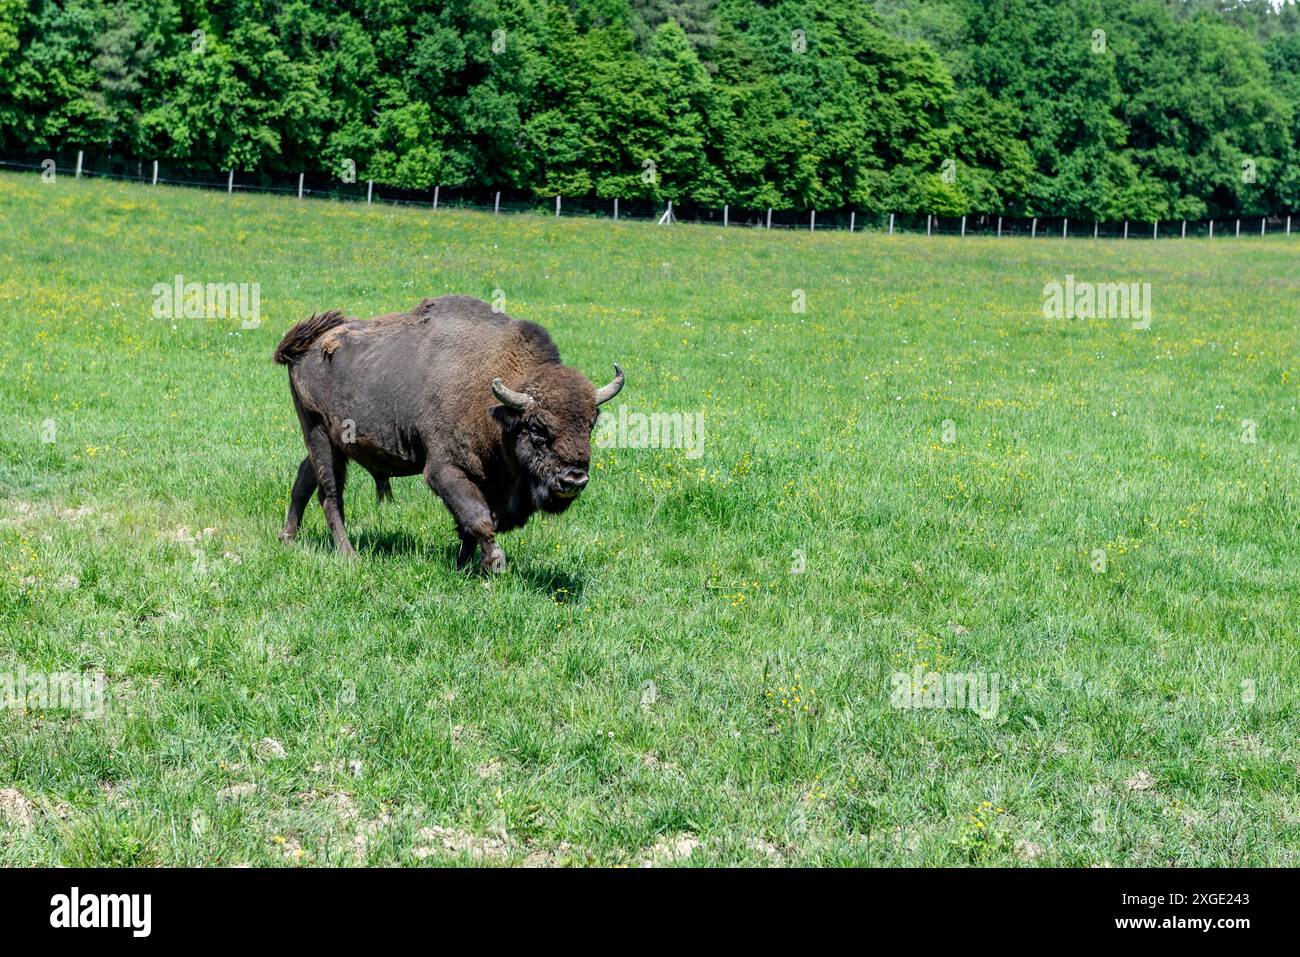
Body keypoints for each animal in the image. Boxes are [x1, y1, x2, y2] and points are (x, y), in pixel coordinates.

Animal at [273, 295, 624, 572]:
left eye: (591, 424)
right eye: (538, 429)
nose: (574, 480)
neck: (492, 405)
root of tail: (305, 345)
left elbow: (472, 524)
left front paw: (464, 565)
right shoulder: (445, 470)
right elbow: (478, 518)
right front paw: (495, 566)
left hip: (330, 441)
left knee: (304, 480)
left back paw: (287, 539)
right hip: (318, 433)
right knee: (330, 494)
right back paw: (349, 556)